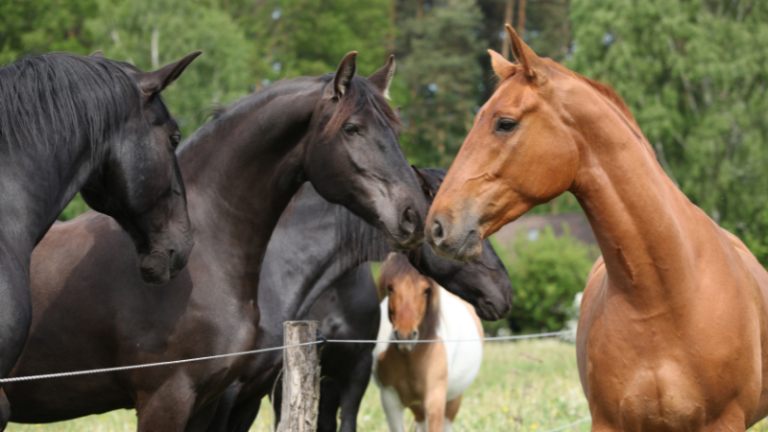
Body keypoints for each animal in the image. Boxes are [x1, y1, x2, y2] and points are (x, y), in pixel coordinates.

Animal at [372, 253, 483, 432]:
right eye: (390, 288)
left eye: (426, 290)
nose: (405, 336)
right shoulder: (390, 401)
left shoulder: (435, 399)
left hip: (452, 402)